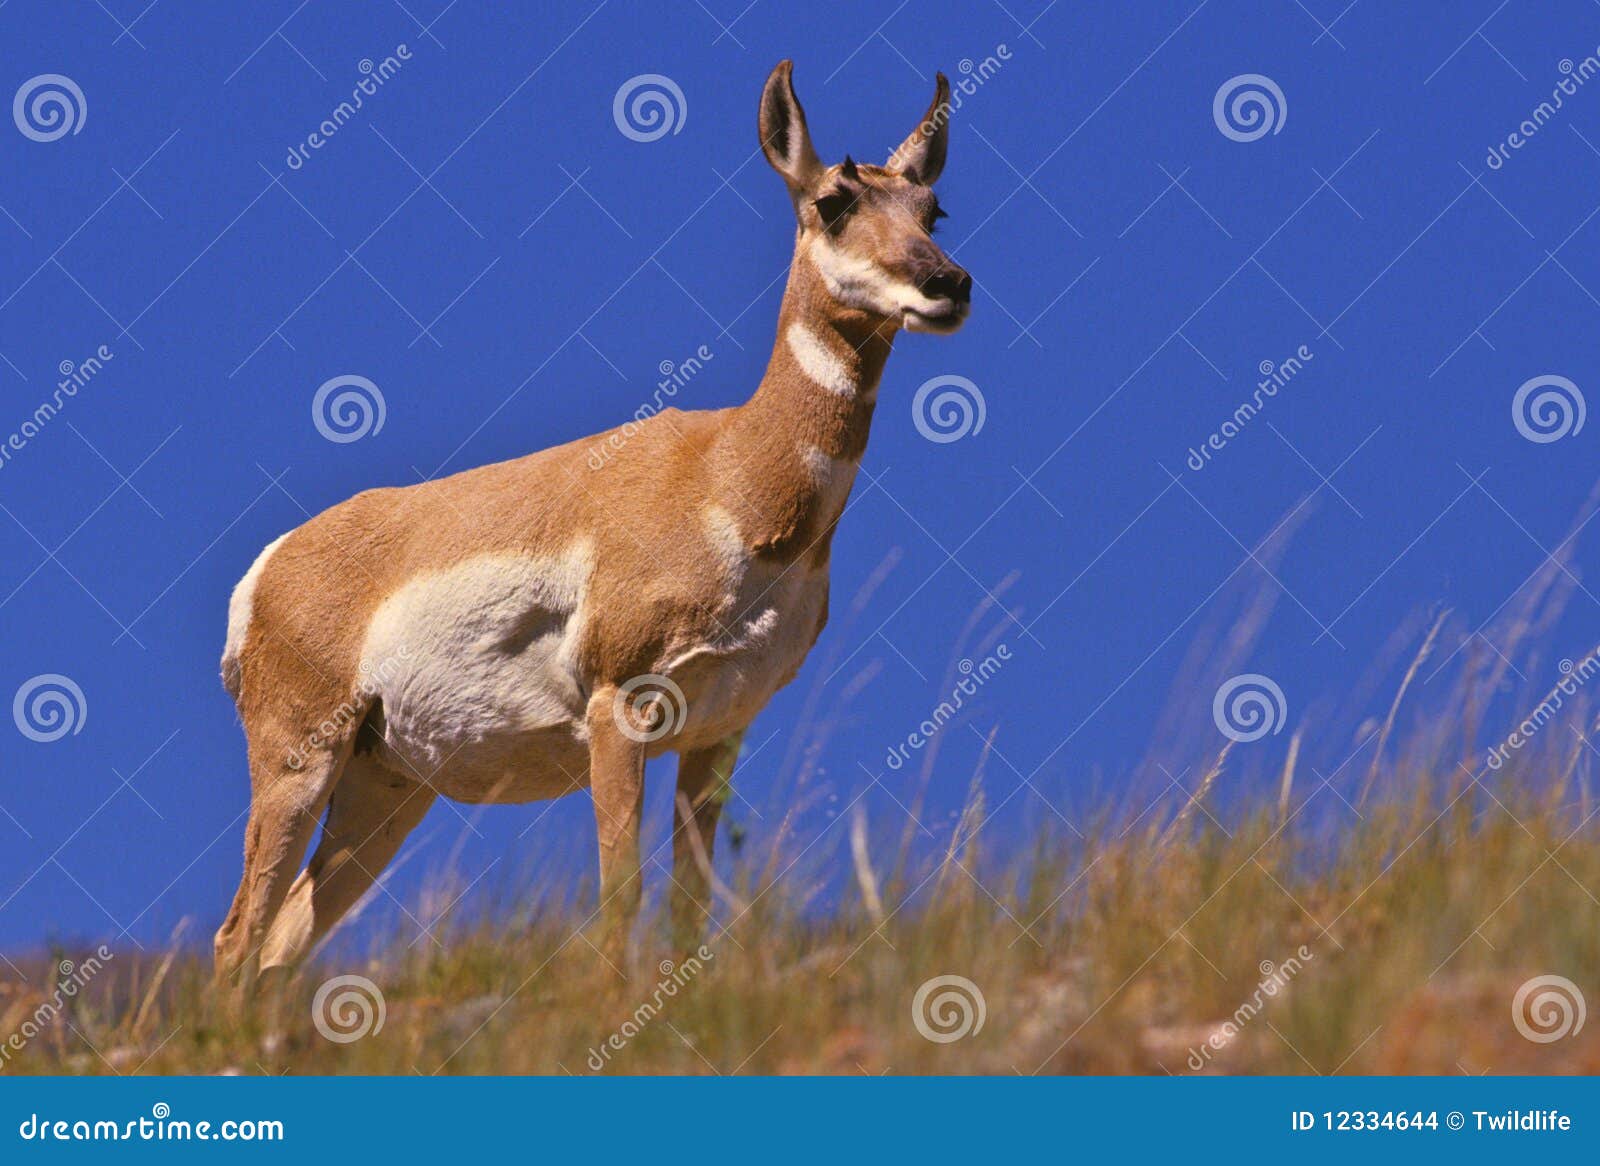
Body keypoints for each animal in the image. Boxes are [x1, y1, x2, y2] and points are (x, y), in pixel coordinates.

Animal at [214, 60, 972, 989]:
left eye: (932, 209)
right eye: (833, 201)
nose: (949, 285)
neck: (727, 470)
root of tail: (273, 562)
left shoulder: (718, 734)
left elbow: (689, 908)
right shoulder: (624, 708)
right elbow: (622, 898)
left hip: (387, 788)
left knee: (280, 946)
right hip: (298, 760)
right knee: (237, 938)